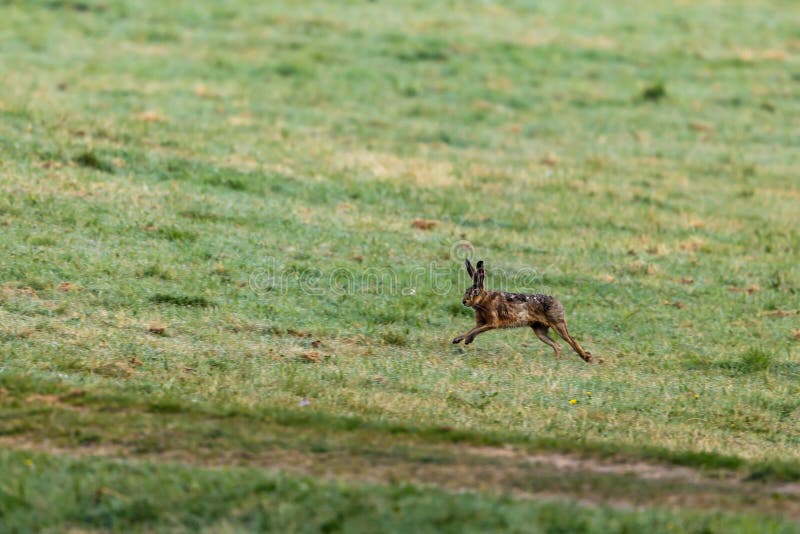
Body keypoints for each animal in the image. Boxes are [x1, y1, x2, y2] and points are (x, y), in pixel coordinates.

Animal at [452, 259, 592, 362]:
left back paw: (586, 357)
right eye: (466, 291)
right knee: (557, 345)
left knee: (571, 340)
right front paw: (457, 340)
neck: (484, 300)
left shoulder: (492, 322)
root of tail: (558, 303)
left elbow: (476, 330)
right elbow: (471, 330)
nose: (464, 301)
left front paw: (467, 340)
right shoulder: (481, 322)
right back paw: (556, 360)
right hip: (539, 330)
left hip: (557, 324)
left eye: (475, 292)